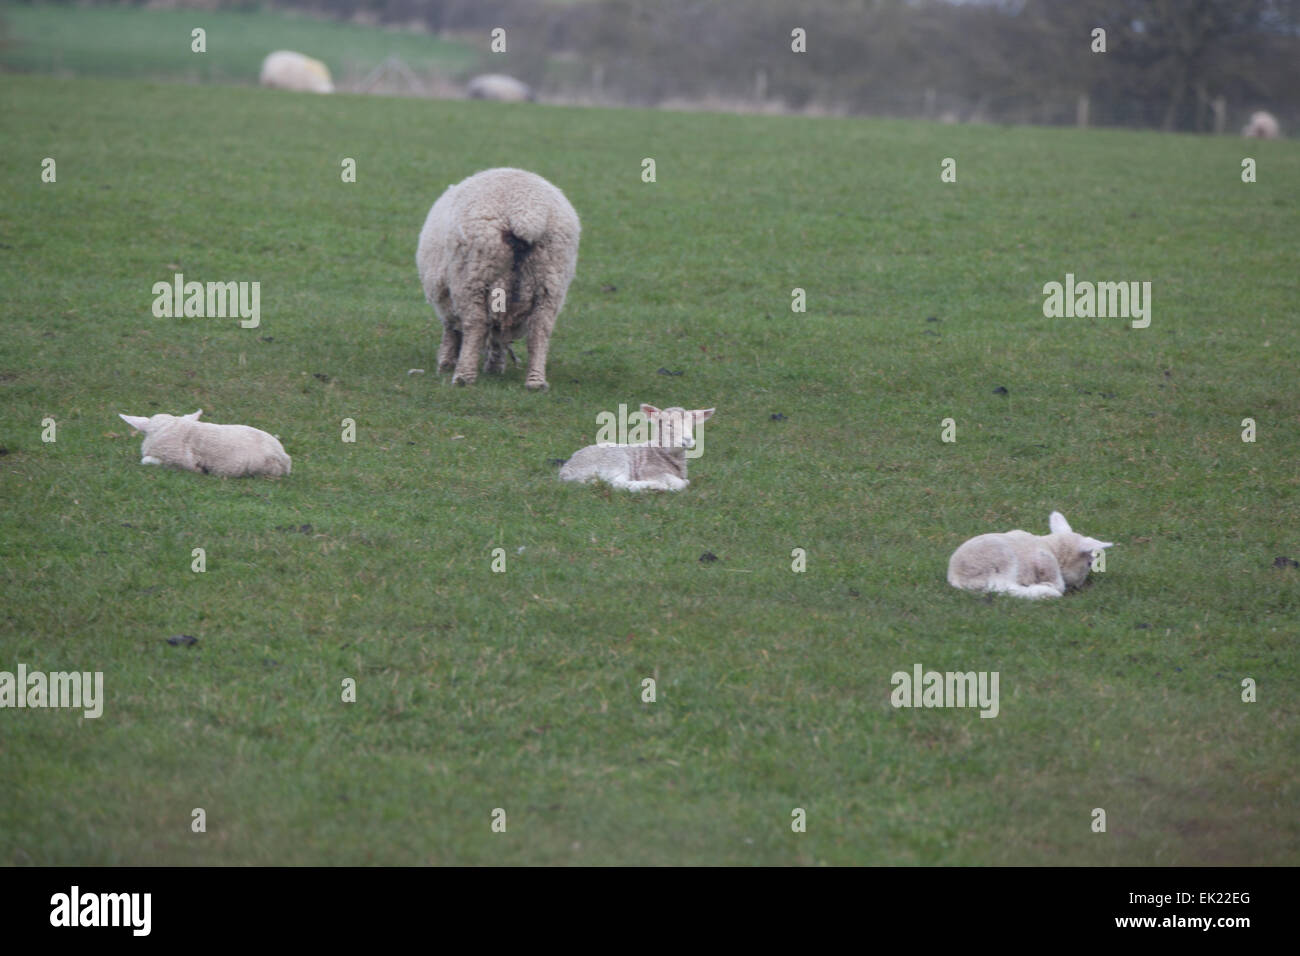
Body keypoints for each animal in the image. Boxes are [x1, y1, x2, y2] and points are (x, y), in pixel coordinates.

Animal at [416, 167, 580, 390]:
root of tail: (526, 213)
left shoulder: (444, 296)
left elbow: (452, 331)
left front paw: (446, 363)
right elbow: (496, 334)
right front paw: (494, 366)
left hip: (472, 278)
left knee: (475, 324)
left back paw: (463, 376)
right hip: (550, 281)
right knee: (540, 331)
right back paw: (536, 382)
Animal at [559, 405, 715, 492]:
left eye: (692, 424)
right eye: (668, 424)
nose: (687, 439)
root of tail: (566, 472)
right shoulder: (650, 470)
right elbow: (682, 483)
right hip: (616, 461)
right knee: (617, 484)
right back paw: (653, 486)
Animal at [947, 511, 1113, 599]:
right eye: (1089, 563)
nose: (1079, 586)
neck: (1050, 546)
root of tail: (957, 578)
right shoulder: (1045, 561)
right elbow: (1059, 585)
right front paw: (1047, 586)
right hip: (1002, 561)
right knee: (1003, 587)